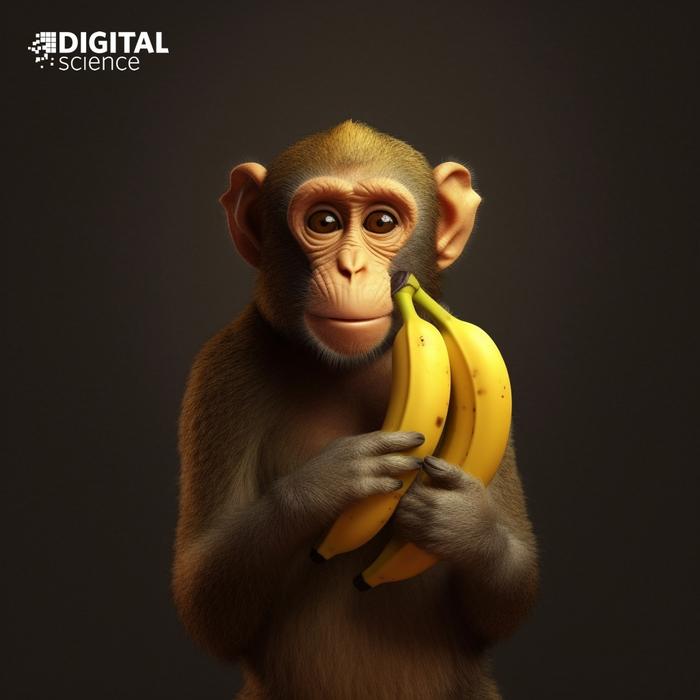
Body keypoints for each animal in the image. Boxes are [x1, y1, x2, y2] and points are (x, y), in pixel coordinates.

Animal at [172, 121, 539, 699]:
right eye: (324, 222)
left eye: (381, 222)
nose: (351, 268)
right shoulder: (220, 373)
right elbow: (204, 594)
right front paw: (329, 483)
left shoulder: (493, 385)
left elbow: (507, 593)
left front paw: (462, 523)